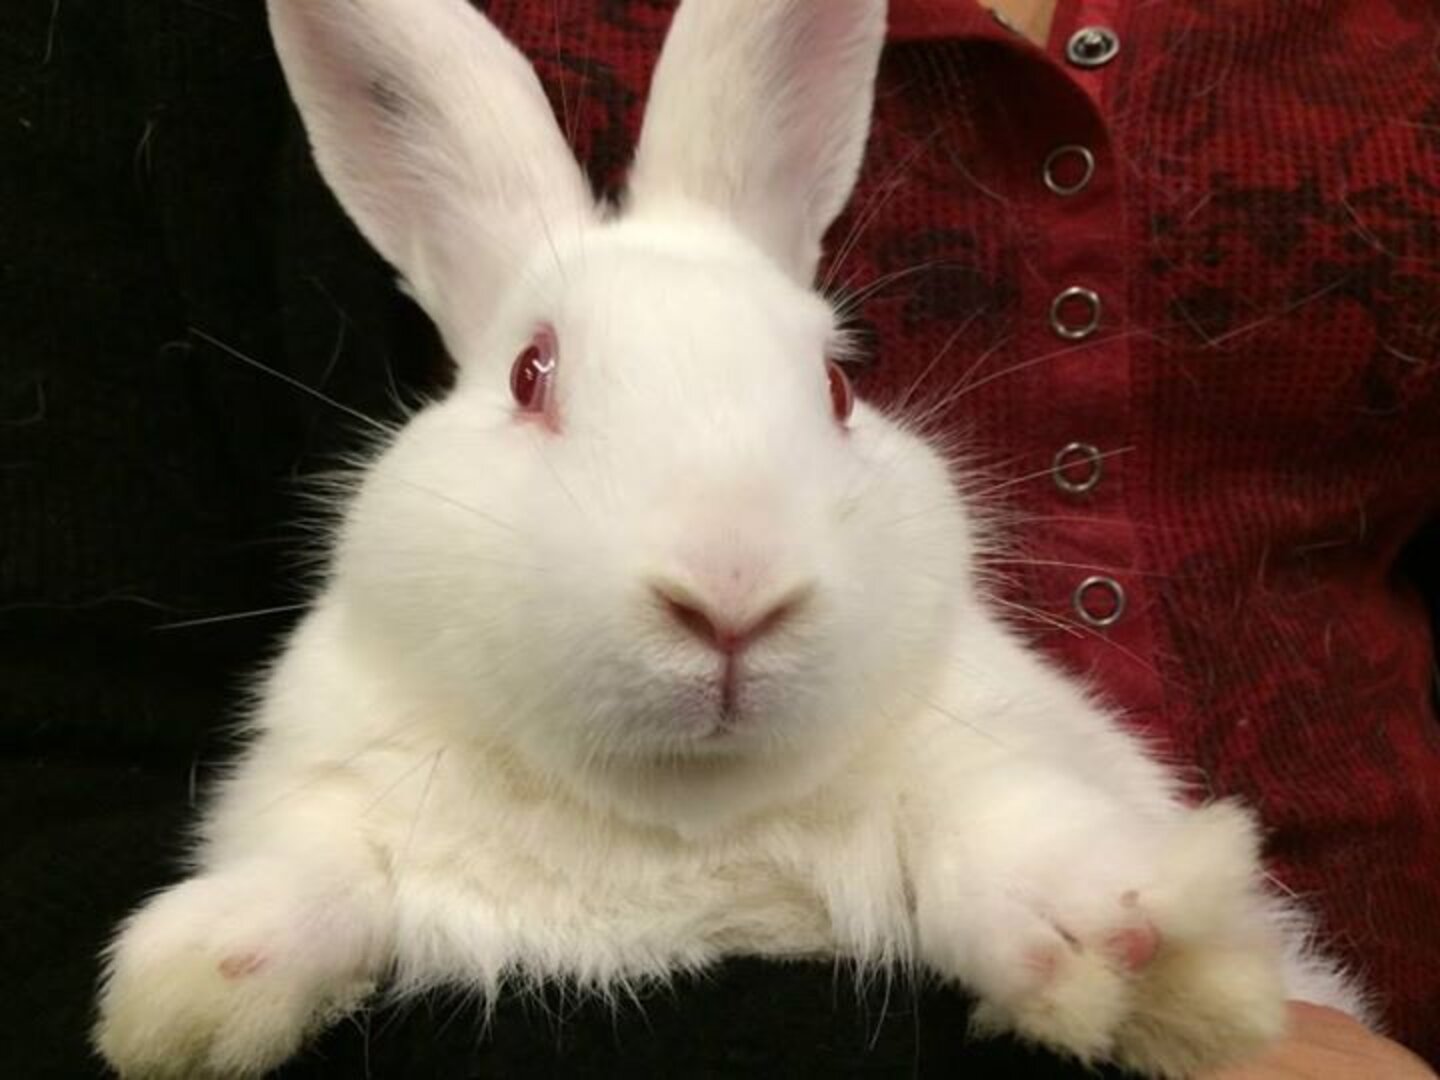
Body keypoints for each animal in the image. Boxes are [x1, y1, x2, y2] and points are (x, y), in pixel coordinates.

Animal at [93, 0, 1371, 1076]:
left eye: (839, 387)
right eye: (530, 374)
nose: (732, 595)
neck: (686, 822)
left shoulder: (1002, 753)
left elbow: (1001, 825)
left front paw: (1134, 955)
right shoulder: (330, 783)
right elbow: (322, 865)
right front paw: (196, 985)